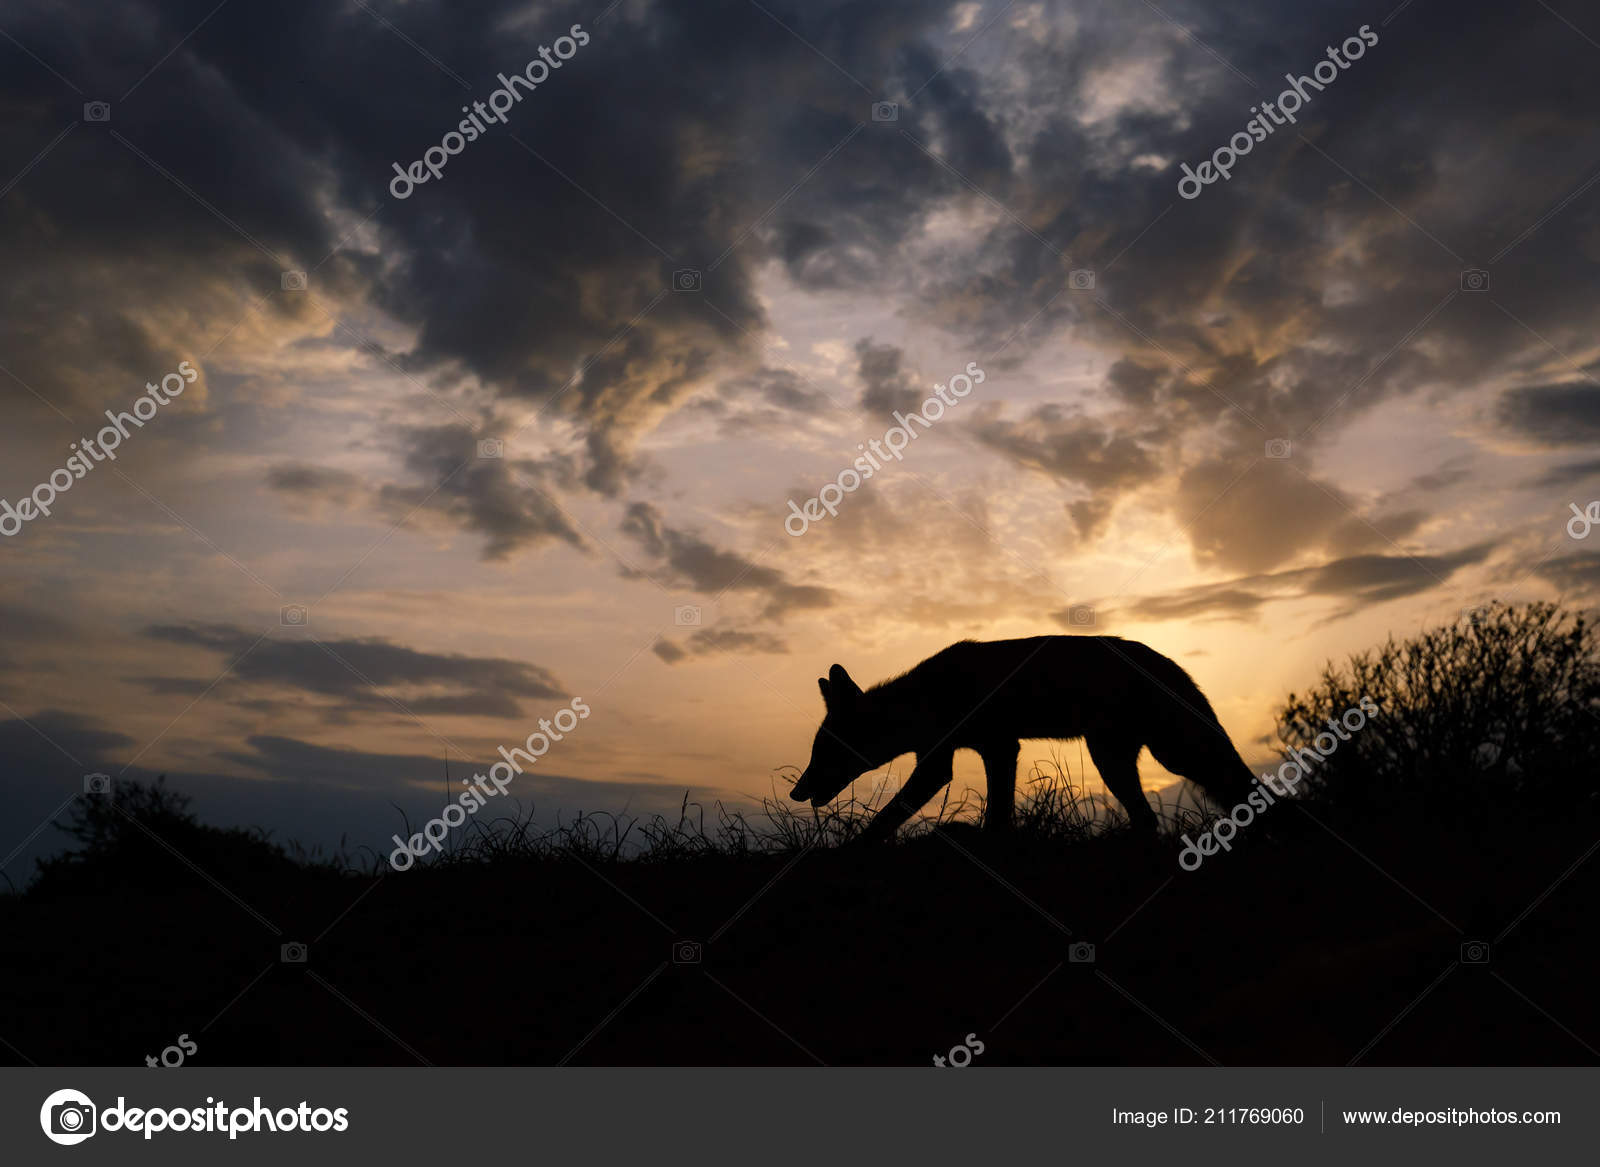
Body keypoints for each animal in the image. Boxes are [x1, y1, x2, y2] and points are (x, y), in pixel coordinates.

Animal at [790, 635, 1257, 842]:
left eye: (824, 752)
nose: (796, 792)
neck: (926, 698)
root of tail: (1170, 662)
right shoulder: (977, 753)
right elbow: (998, 815)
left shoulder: (963, 758)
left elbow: (885, 820)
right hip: (1121, 760)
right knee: (1150, 819)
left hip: (1168, 755)